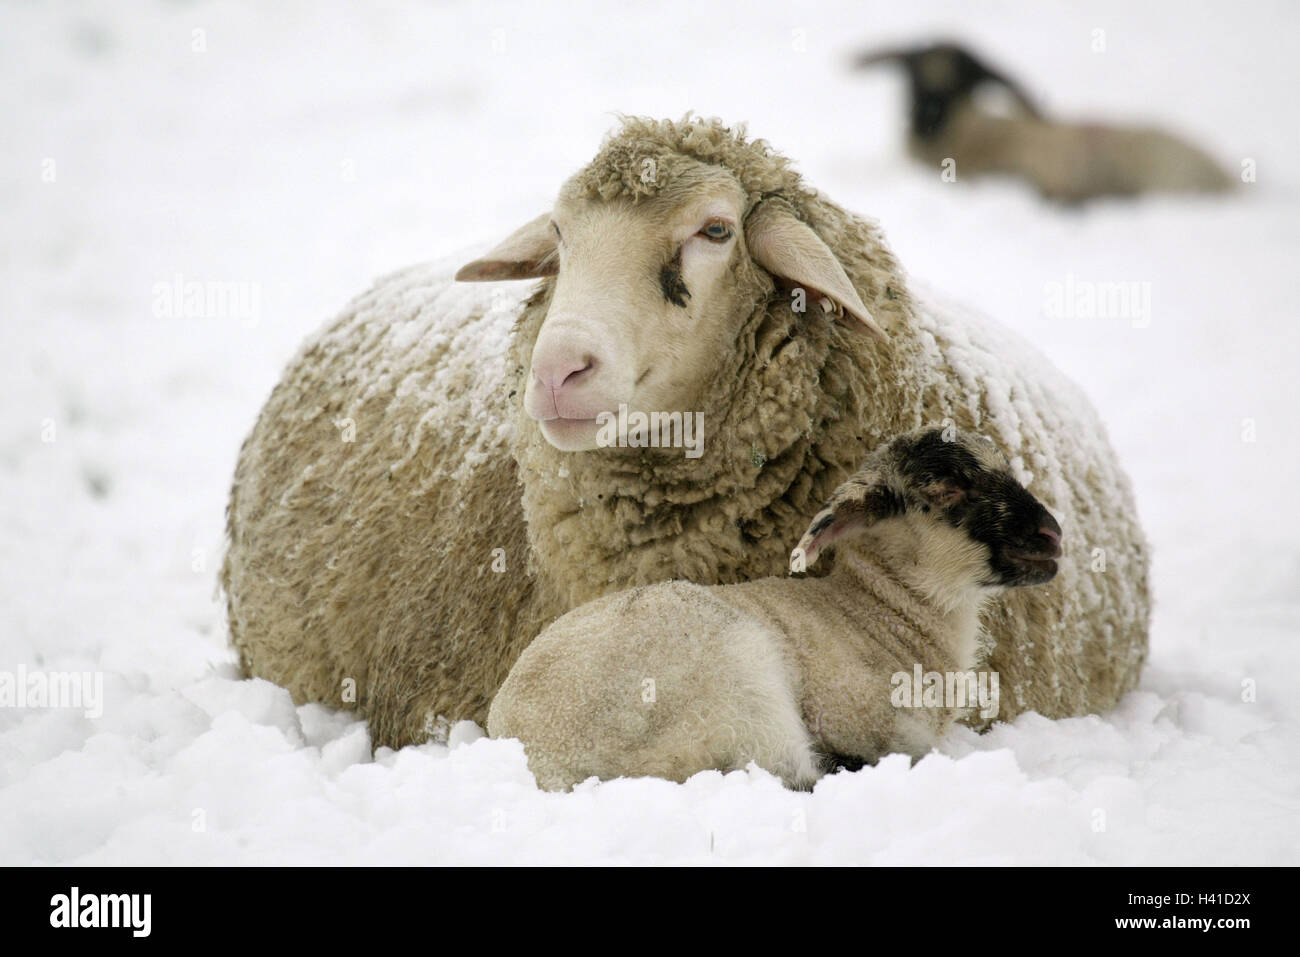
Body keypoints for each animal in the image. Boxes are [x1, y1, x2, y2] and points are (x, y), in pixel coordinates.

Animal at [488, 427, 1064, 789]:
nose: (1053, 535)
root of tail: (537, 753)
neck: (881, 612)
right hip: (735, 687)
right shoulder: (862, 719)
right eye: (946, 488)